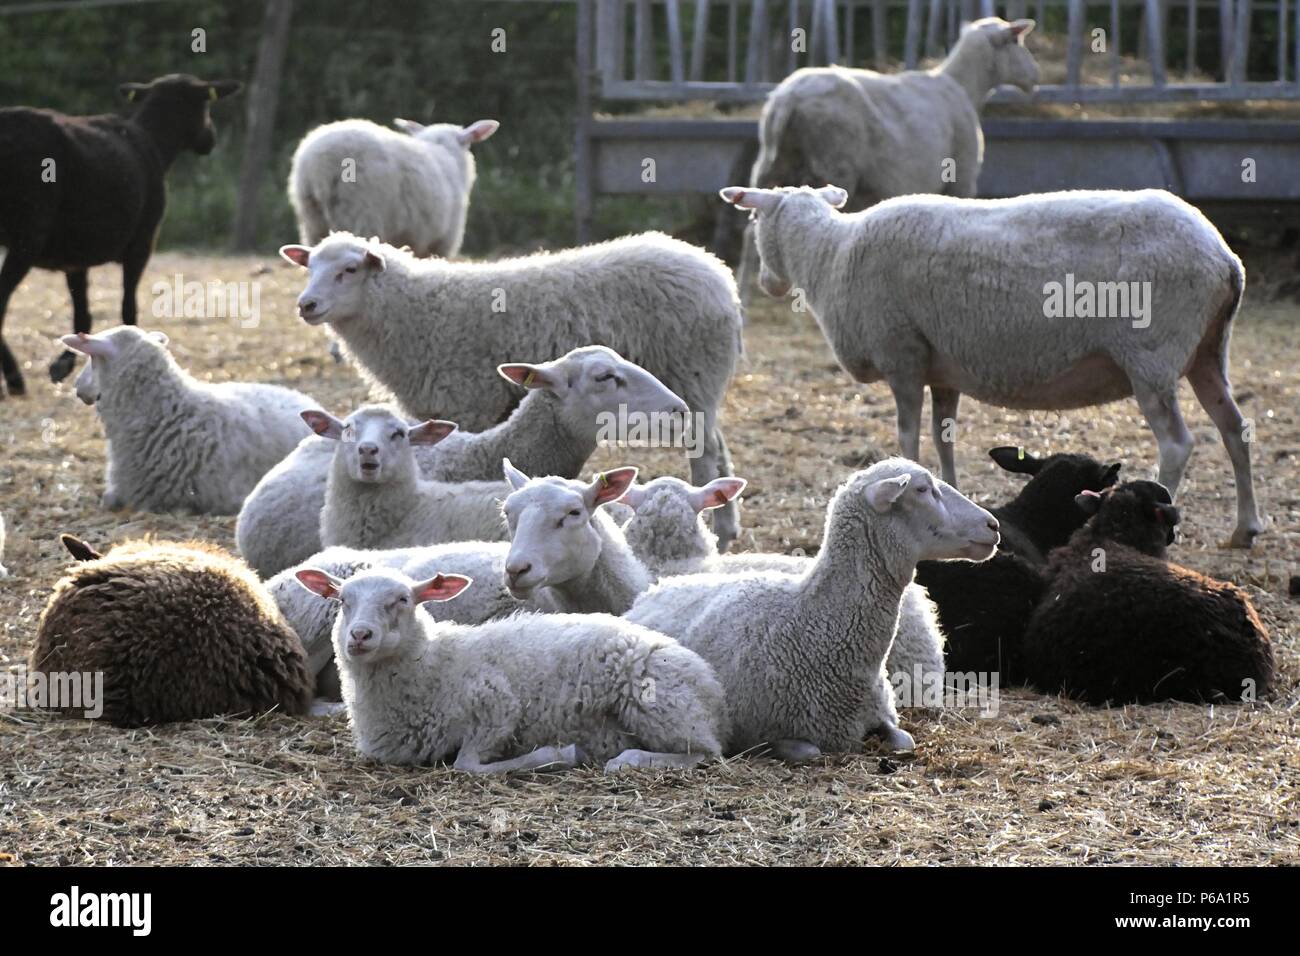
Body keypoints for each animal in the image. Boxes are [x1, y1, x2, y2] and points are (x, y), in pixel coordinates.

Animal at [0, 74, 241, 395]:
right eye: (205, 105)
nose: (210, 140)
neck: (156, 142)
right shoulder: (142, 243)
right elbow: (128, 308)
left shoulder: (77, 255)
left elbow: (82, 312)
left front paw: (65, 362)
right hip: (29, 233)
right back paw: (15, 379)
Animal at [294, 567, 727, 773]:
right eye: (343, 600)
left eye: (402, 599)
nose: (360, 635)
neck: (434, 663)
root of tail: (707, 679)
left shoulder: (497, 704)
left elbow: (468, 766)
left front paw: (556, 754)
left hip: (657, 706)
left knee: (705, 753)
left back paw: (627, 760)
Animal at [720, 184, 1263, 548]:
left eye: (754, 223)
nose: (767, 284)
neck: (831, 255)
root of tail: (1224, 256)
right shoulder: (941, 369)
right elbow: (943, 437)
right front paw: (952, 494)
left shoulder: (902, 355)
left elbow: (907, 437)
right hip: (1208, 351)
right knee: (1235, 428)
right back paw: (1245, 529)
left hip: (1151, 354)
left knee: (1177, 443)